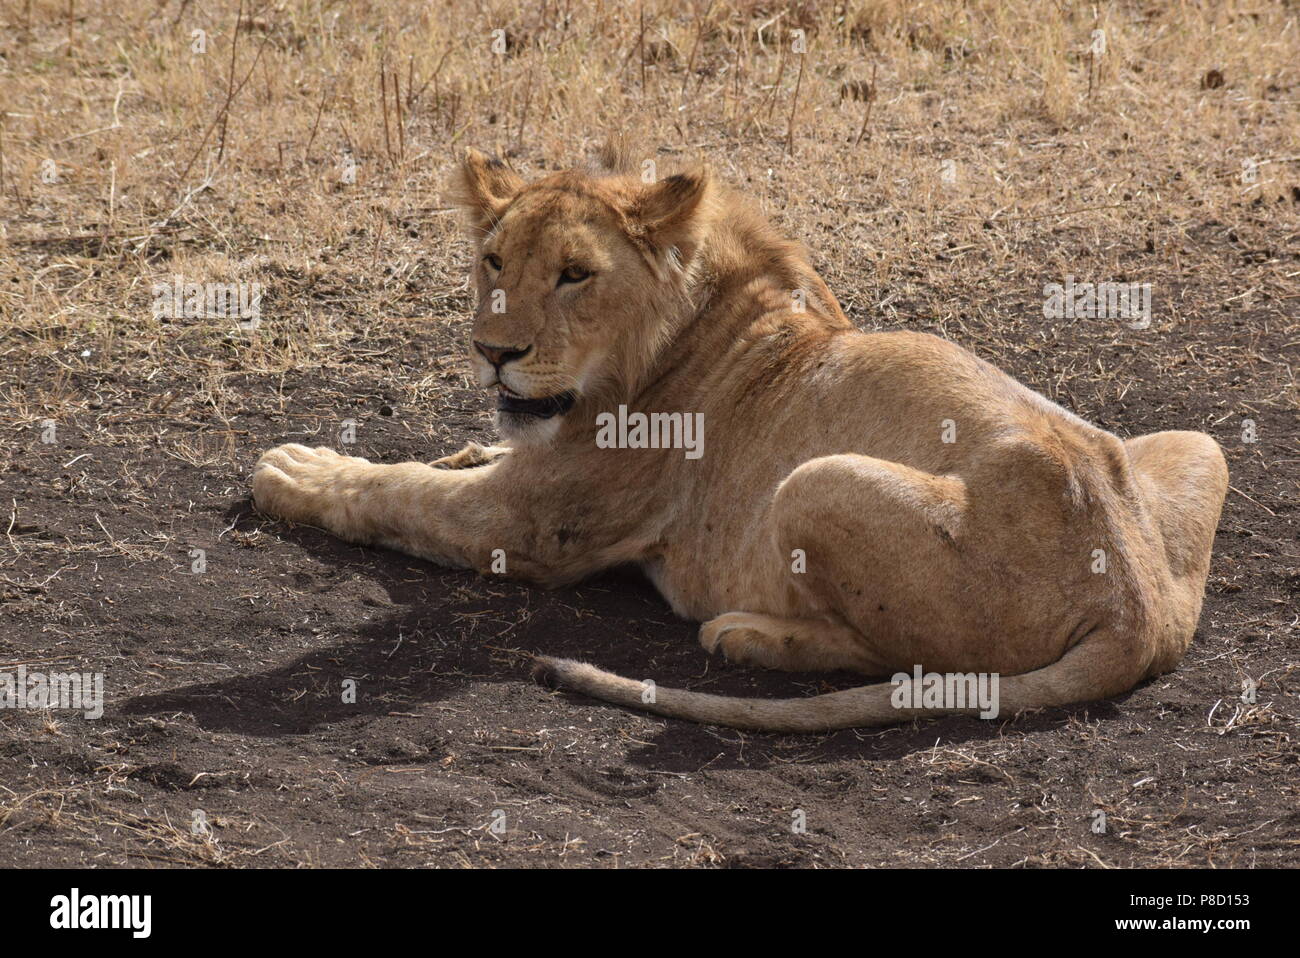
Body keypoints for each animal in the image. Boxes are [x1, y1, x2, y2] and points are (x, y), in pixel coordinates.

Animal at [251, 145, 1229, 732]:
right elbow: (471, 460)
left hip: (814, 482)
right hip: (1196, 445)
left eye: (574, 275)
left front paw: (295, 470)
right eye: (493, 261)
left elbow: (395, 493)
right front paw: (472, 445)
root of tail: (1140, 612)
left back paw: (746, 635)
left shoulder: (534, 528)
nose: (494, 352)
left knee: (896, 660)